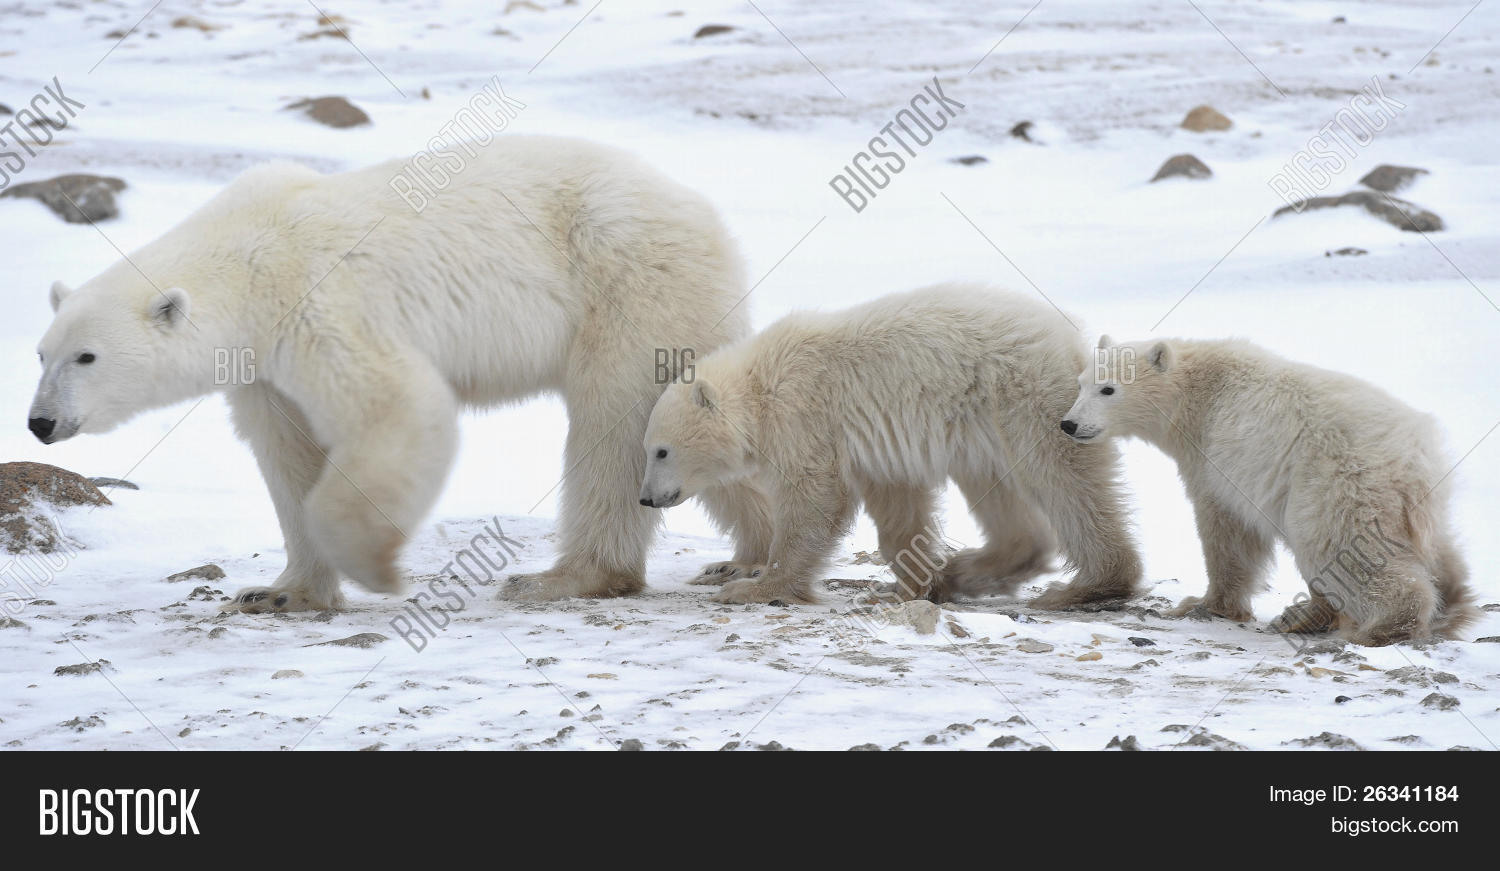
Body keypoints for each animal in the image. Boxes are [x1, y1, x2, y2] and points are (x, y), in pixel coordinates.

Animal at [28, 135, 755, 611]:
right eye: (41, 354)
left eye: (87, 356)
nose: (39, 422)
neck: (248, 255)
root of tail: (708, 217)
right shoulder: (262, 367)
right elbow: (287, 455)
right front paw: (278, 592)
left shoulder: (318, 304)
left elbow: (397, 409)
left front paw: (374, 568)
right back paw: (743, 556)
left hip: (627, 287)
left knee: (615, 423)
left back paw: (562, 576)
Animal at [637, 283, 1144, 606]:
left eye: (661, 450)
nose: (645, 498)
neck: (760, 383)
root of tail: (1071, 336)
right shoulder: (878, 446)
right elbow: (897, 505)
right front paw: (913, 583)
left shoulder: (804, 414)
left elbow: (815, 498)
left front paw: (754, 587)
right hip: (983, 426)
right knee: (999, 493)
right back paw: (965, 571)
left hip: (1027, 396)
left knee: (1065, 480)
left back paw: (1091, 583)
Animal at [1060, 336, 1476, 646]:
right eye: (1081, 383)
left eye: (1108, 389)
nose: (1069, 424)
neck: (1196, 393)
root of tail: (1413, 454)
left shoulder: (1215, 457)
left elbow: (1226, 531)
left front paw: (1205, 603)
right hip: (1414, 502)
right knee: (1437, 550)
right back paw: (1449, 605)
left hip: (1337, 480)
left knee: (1336, 541)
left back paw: (1383, 627)